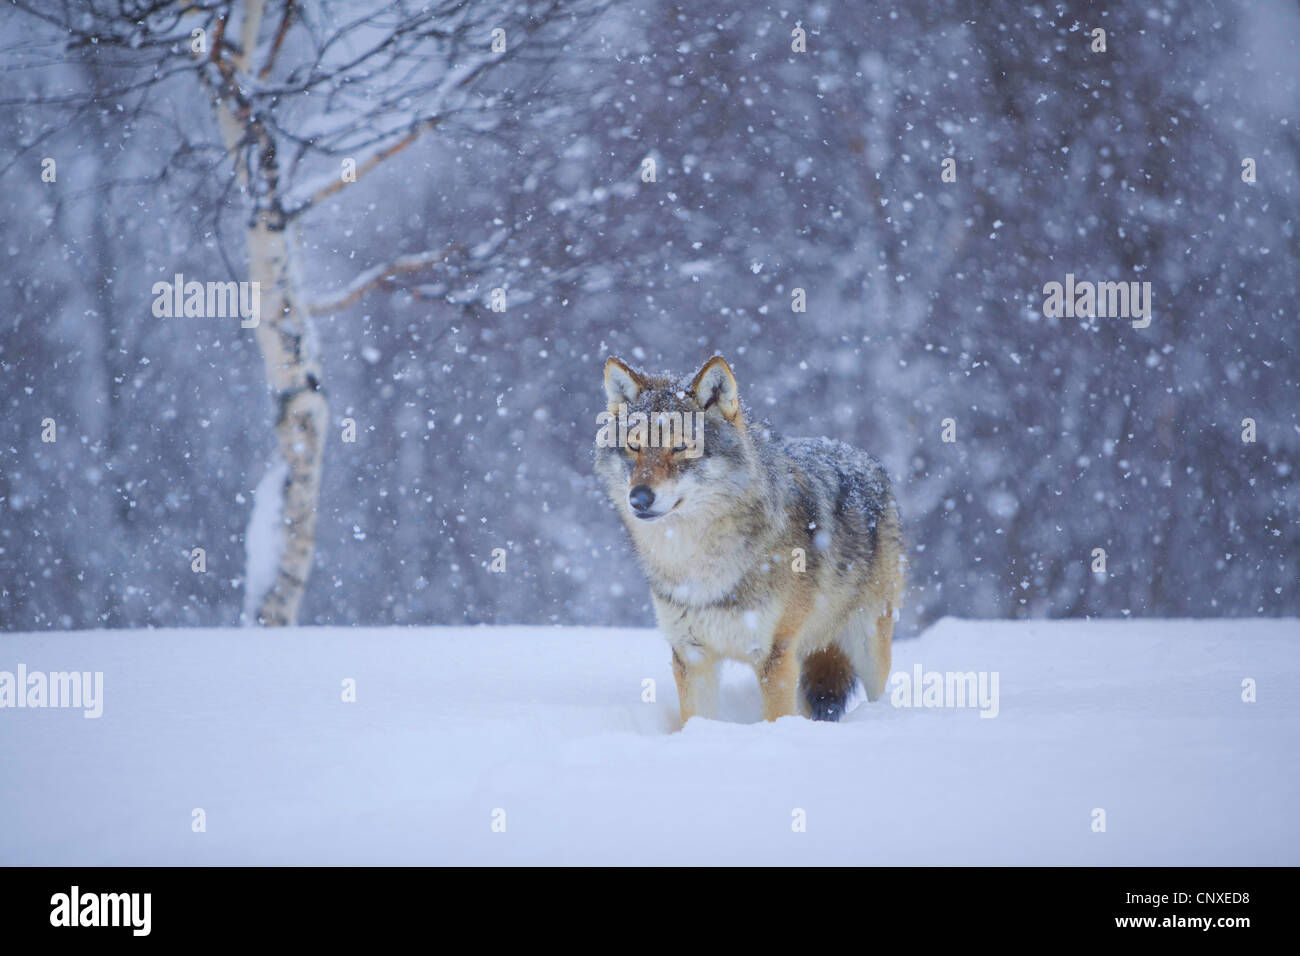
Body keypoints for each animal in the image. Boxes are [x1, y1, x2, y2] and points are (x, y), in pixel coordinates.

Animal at [595, 355, 905, 728]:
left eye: (681, 446)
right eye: (635, 445)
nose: (639, 498)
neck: (697, 565)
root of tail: (862, 455)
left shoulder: (775, 655)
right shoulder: (691, 655)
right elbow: (695, 720)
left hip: (868, 641)